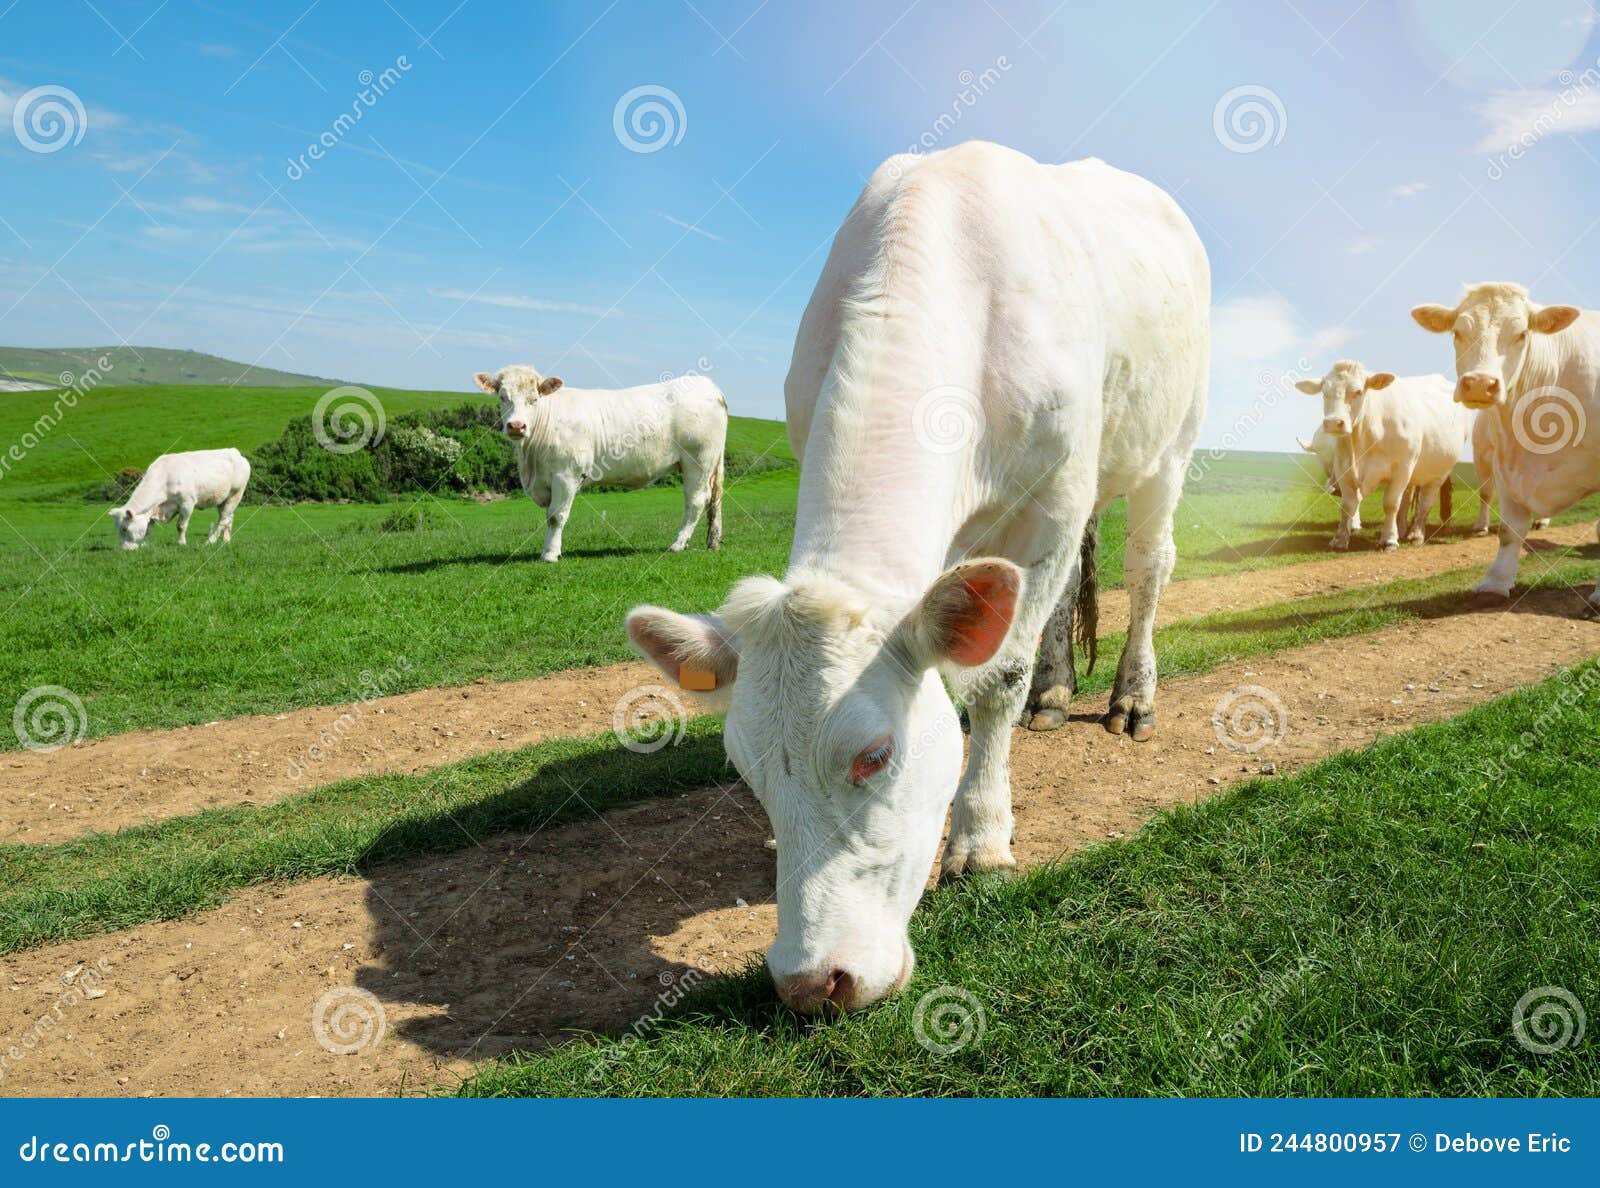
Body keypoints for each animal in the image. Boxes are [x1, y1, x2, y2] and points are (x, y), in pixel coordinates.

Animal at [107, 448, 250, 550]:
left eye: (124, 528)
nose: (124, 550)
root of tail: (235, 452)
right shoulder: (154, 508)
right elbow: (149, 528)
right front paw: (144, 545)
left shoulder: (187, 503)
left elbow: (181, 526)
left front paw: (181, 543)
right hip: (223, 499)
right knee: (228, 518)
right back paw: (226, 541)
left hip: (235, 494)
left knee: (223, 520)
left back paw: (210, 542)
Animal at [472, 365, 727, 562]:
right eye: (503, 397)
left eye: (534, 399)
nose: (516, 426)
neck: (530, 461)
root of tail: (709, 386)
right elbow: (550, 515)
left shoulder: (566, 475)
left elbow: (556, 516)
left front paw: (550, 554)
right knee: (714, 500)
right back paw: (712, 542)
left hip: (697, 461)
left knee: (696, 501)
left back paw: (678, 543)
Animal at [623, 142, 1208, 1013]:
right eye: (743, 766)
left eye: (875, 755)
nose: (811, 981)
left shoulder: (1052, 497)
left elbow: (995, 678)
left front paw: (981, 838)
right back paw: (1055, 692)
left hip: (1169, 441)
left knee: (1147, 566)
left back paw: (1131, 696)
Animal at [1295, 363, 1469, 551]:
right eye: (1324, 392)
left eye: (1358, 391)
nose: (1334, 422)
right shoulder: (1343, 469)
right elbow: (1348, 505)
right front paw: (1339, 539)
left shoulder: (1402, 468)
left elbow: (1391, 503)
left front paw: (1389, 540)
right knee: (1406, 499)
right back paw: (1401, 529)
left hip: (1438, 473)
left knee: (1425, 502)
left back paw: (1416, 534)